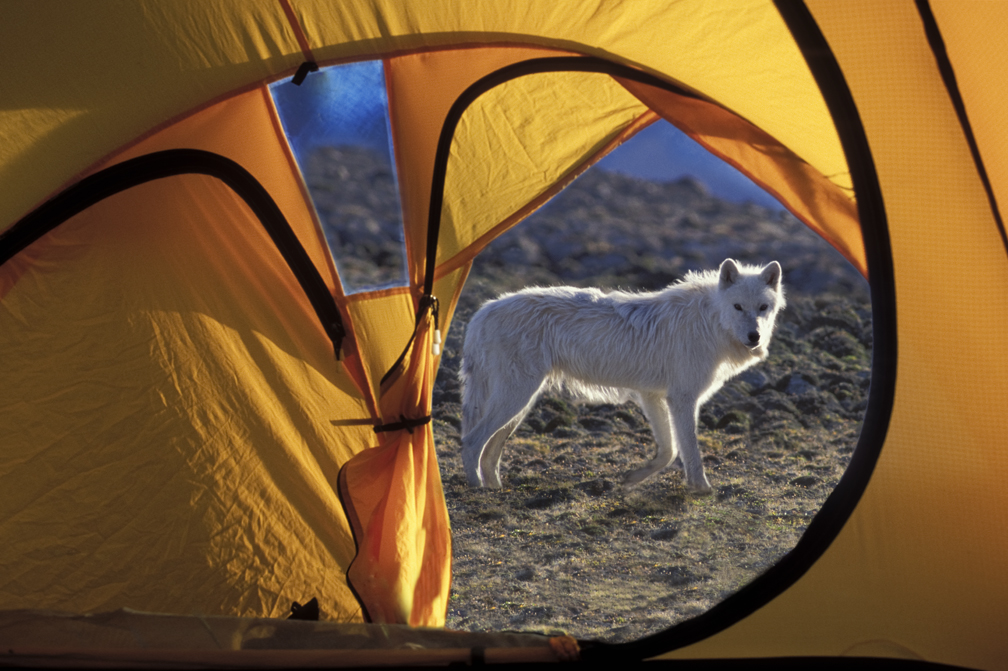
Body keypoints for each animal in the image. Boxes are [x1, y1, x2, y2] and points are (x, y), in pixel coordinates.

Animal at [459, 259, 785, 493]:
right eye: (738, 307)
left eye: (763, 308)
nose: (754, 336)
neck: (709, 323)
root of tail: (483, 312)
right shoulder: (682, 400)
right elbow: (689, 450)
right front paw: (702, 489)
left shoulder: (653, 396)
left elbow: (668, 451)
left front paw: (631, 479)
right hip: (516, 398)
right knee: (471, 442)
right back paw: (477, 490)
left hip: (520, 405)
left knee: (489, 453)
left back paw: (496, 489)